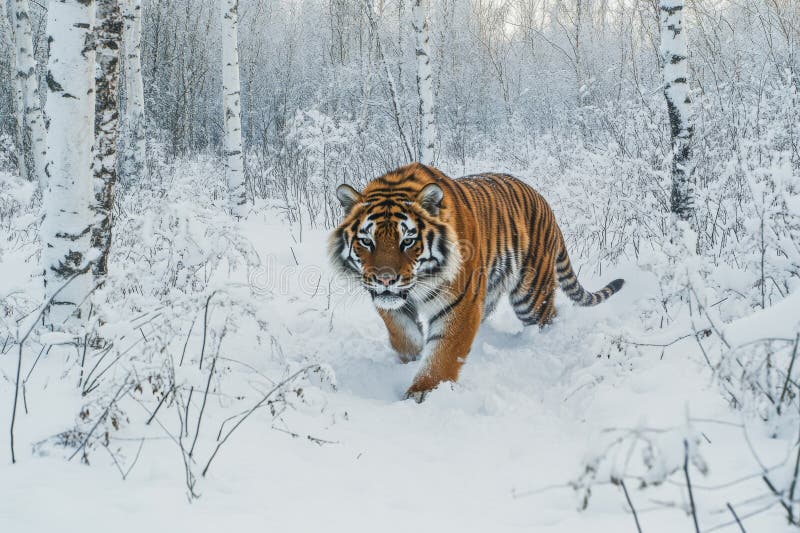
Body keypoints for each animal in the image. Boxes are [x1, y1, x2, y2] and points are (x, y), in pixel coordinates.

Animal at [329, 163, 624, 401]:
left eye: (408, 241)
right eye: (367, 241)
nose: (385, 279)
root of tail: (545, 202)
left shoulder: (461, 302)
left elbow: (444, 351)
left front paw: (423, 392)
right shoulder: (386, 298)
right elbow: (401, 331)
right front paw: (412, 356)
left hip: (530, 295)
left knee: (548, 315)